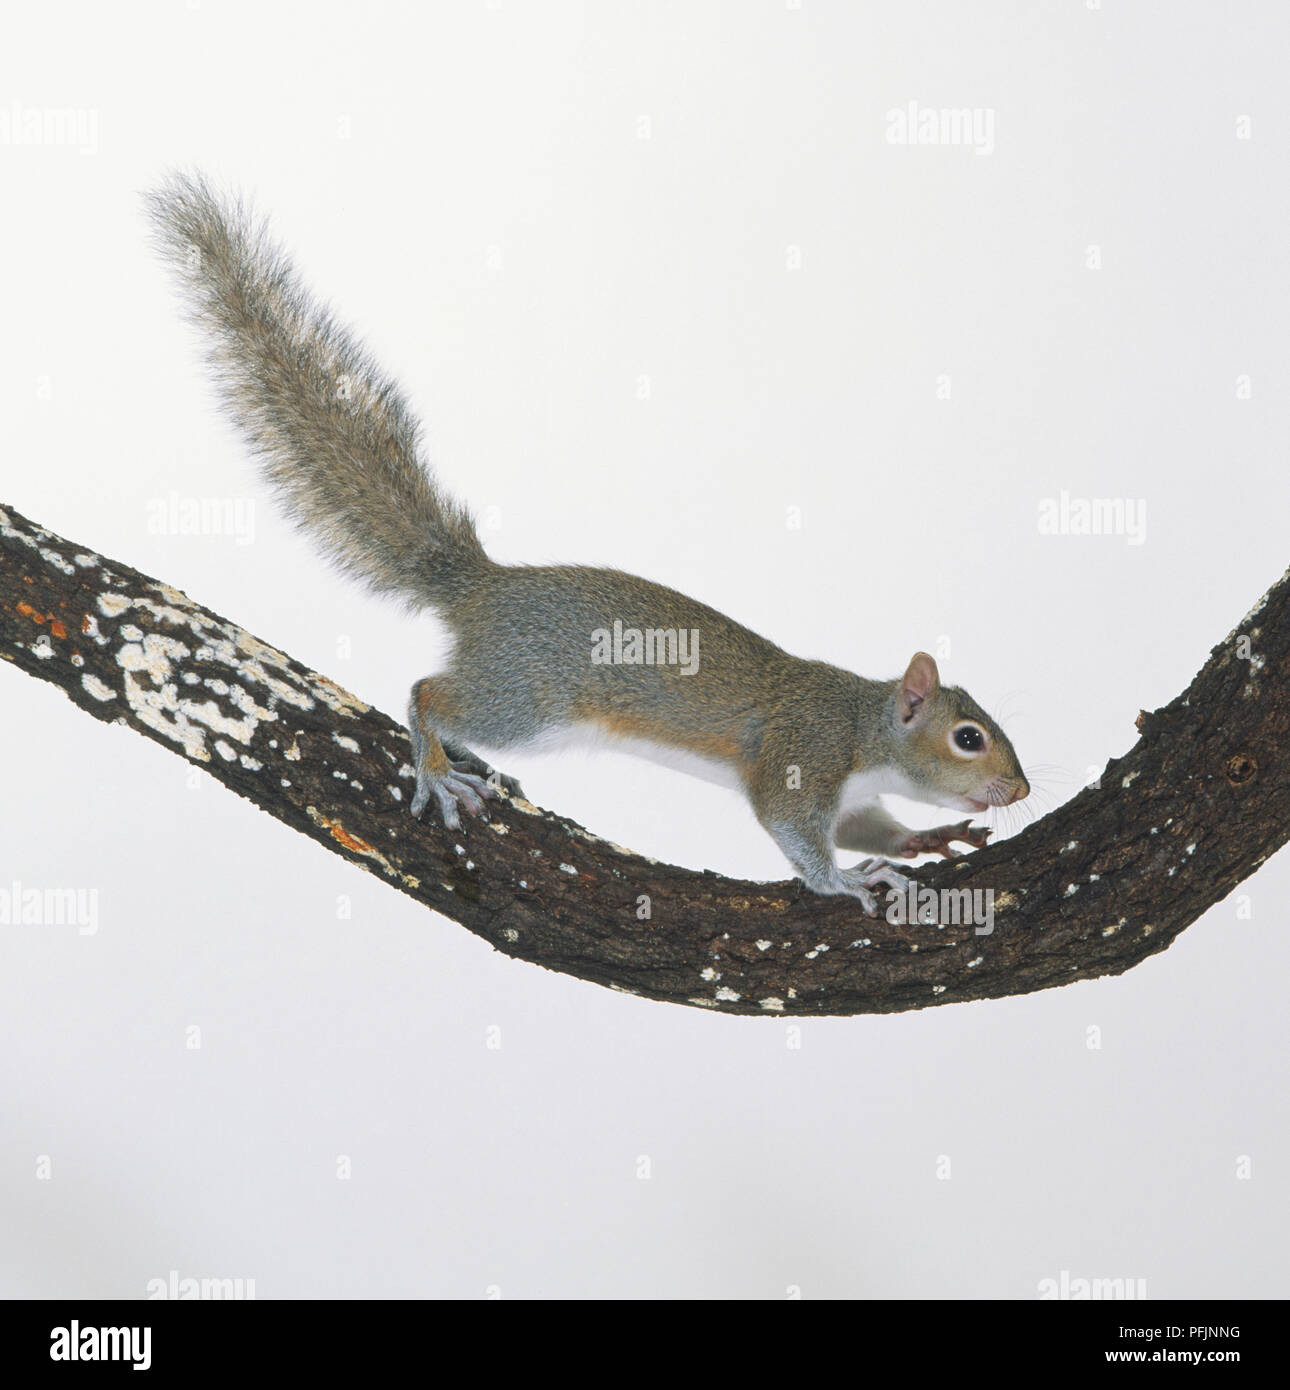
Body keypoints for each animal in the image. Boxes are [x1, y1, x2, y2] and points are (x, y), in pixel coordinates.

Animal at [146, 171, 1029, 913]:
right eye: (969, 737)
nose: (1020, 791)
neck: (860, 724)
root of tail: (483, 588)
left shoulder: (848, 793)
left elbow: (867, 824)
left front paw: (921, 836)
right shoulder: (799, 759)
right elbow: (796, 835)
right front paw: (845, 881)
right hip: (527, 700)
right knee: (430, 694)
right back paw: (437, 766)